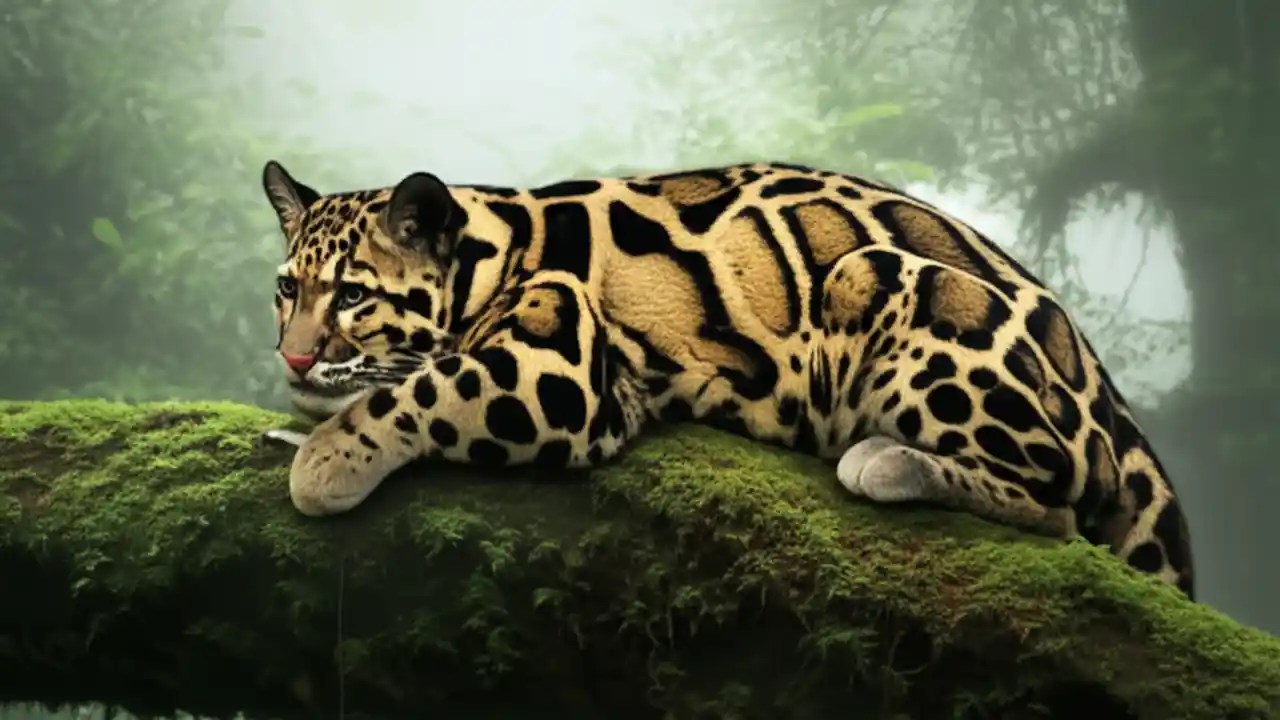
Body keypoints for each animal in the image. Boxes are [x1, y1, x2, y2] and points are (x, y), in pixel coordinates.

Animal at [259, 158, 1195, 599]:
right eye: (285, 290)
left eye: (351, 295)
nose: (294, 358)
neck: (491, 246)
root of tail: (1109, 392)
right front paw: (300, 425)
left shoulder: (562, 366)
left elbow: (419, 388)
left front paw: (327, 459)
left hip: (881, 274)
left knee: (1061, 501)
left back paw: (889, 459)